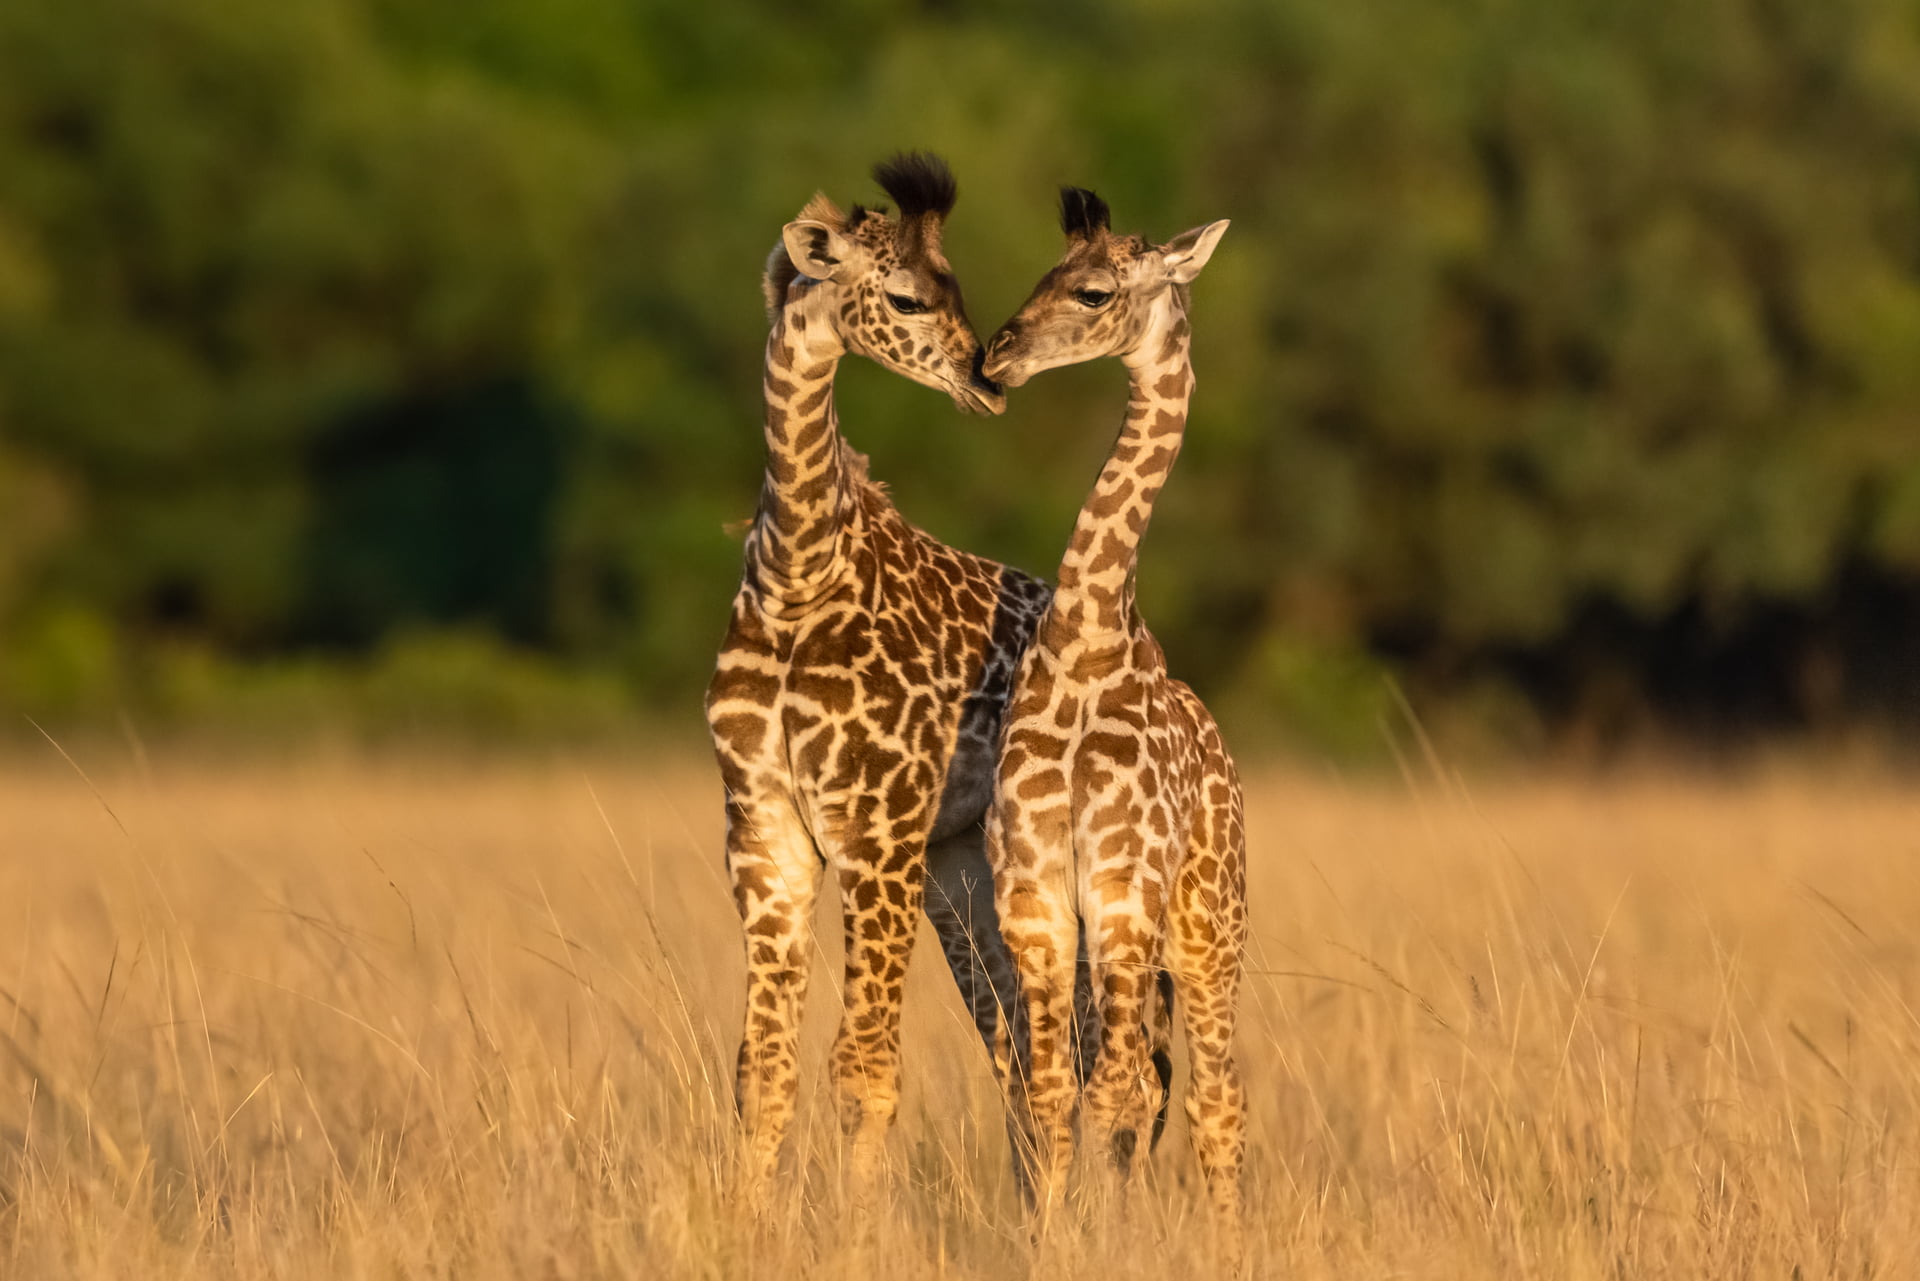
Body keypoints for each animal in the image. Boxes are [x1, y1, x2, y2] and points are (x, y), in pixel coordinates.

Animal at [705, 153, 1050, 1195]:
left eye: (957, 286)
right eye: (905, 295)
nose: (987, 380)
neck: (796, 576)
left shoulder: (877, 830)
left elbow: (865, 1073)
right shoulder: (765, 830)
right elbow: (764, 1071)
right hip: (963, 871)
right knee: (1028, 1055)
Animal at [979, 187, 1248, 1239]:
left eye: (1094, 291)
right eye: (1042, 271)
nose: (997, 353)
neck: (1085, 648)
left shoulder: (1127, 895)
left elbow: (1120, 1093)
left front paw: (1107, 1236)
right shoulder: (1035, 897)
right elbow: (1053, 1088)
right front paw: (1053, 1236)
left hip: (1211, 932)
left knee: (1214, 1096)